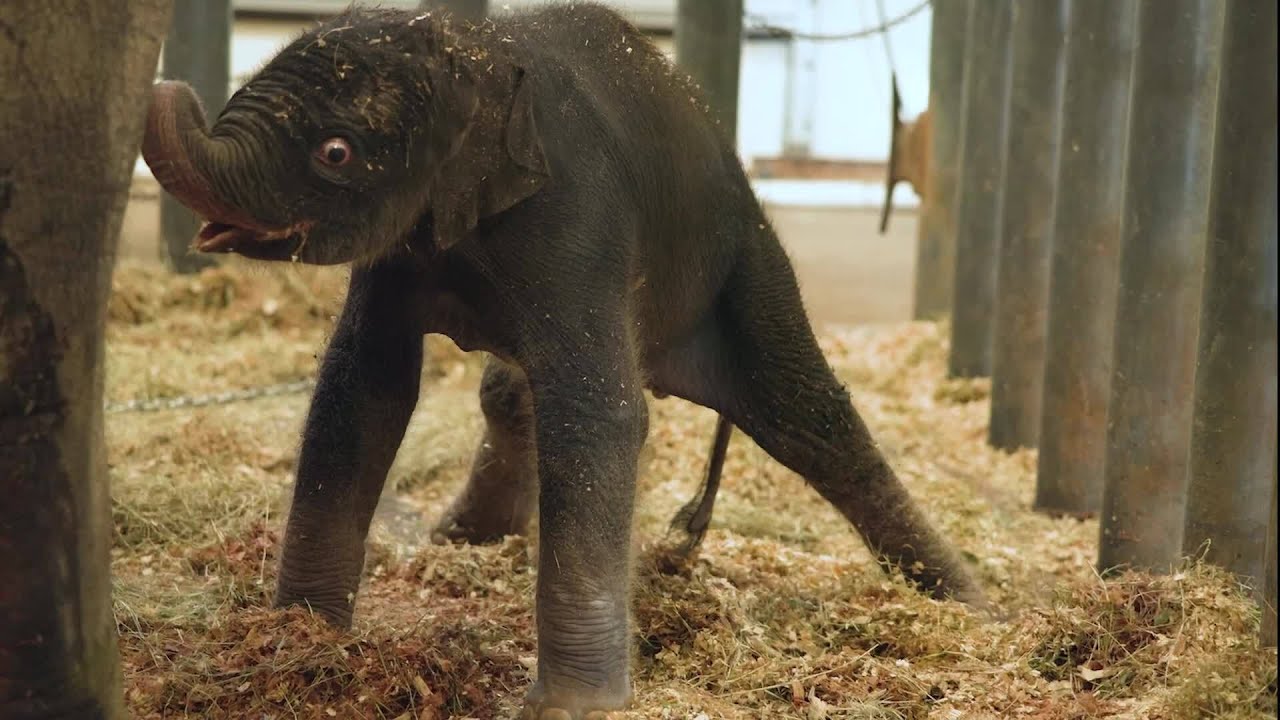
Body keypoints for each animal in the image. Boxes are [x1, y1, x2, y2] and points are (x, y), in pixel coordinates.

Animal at [140, 4, 984, 717]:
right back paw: (460, 539)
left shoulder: (578, 217)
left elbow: (595, 410)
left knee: (808, 416)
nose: (166, 80)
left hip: (744, 257)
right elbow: (363, 389)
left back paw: (968, 605)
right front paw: (302, 637)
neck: (472, 54)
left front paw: (571, 706)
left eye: (335, 152)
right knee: (510, 394)